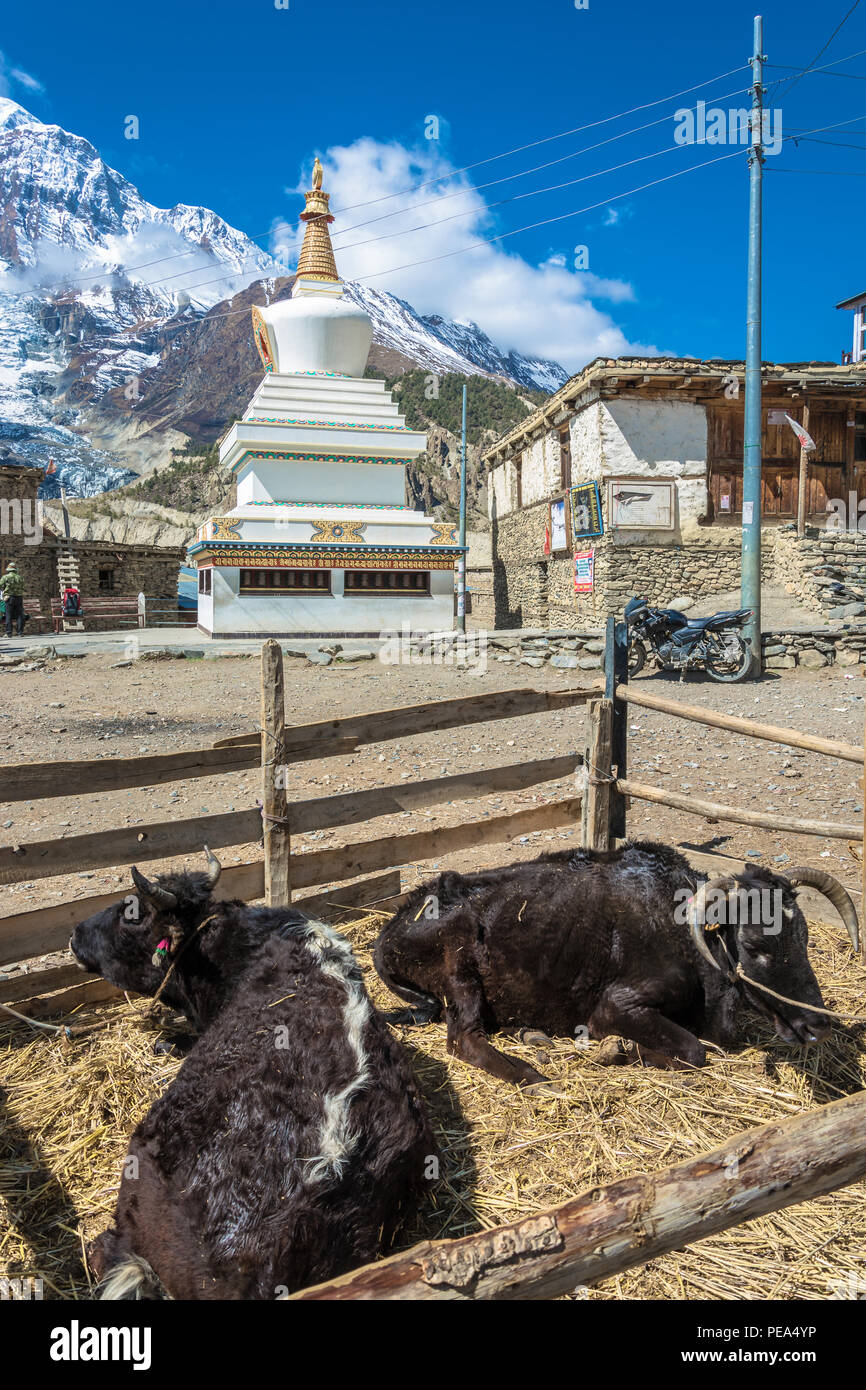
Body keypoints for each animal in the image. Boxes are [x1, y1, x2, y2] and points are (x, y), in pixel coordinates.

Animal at [373, 841, 859, 1084]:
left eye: (803, 937)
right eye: (756, 946)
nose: (819, 1025)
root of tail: (399, 917)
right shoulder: (616, 1005)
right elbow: (694, 1050)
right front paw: (622, 1049)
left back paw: (531, 1035)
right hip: (461, 974)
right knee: (463, 1039)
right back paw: (527, 1072)